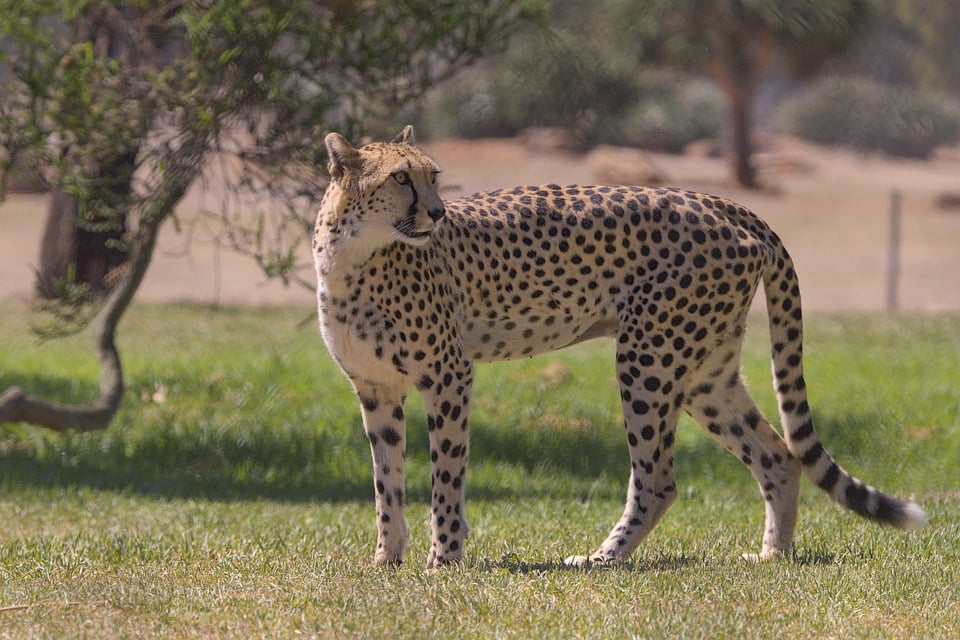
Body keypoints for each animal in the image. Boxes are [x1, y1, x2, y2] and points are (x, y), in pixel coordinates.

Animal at [312, 125, 926, 568]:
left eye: (433, 176)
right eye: (400, 178)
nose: (438, 213)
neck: (352, 257)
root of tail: (718, 201)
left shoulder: (448, 377)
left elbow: (446, 477)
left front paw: (445, 560)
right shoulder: (375, 390)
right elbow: (386, 483)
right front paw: (387, 560)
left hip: (648, 358)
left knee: (658, 479)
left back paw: (601, 559)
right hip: (705, 374)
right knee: (777, 456)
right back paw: (772, 556)